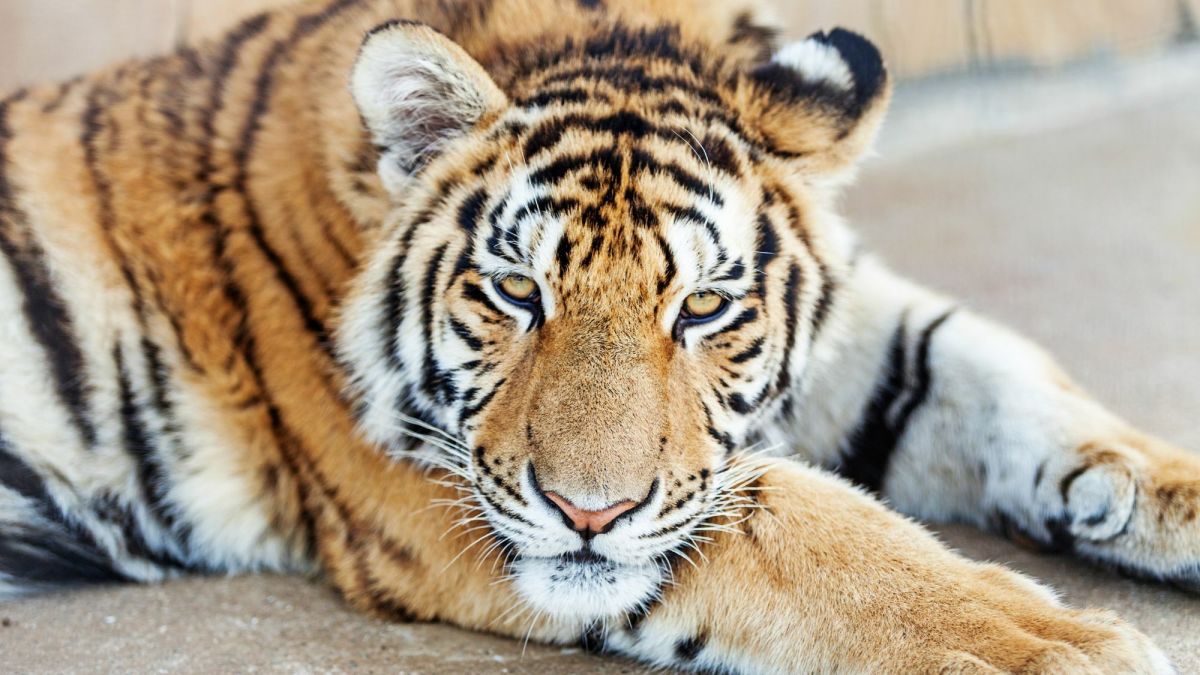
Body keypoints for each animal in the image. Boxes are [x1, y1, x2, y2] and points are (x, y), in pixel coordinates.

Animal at [0, 0, 1196, 671]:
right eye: (515, 292)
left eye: (703, 307)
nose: (587, 515)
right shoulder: (417, 483)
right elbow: (798, 524)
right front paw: (1070, 649)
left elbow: (998, 371)